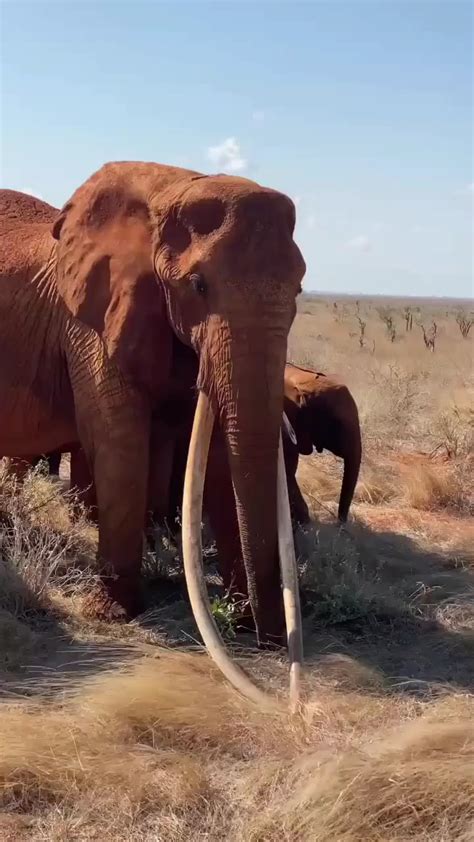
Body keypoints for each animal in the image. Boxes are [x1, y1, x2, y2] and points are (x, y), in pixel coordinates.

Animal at [0, 163, 306, 667]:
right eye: (198, 286)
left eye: (299, 287)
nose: (274, 644)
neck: (175, 187)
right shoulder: (91, 322)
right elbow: (118, 439)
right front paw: (113, 613)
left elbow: (219, 455)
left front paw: (242, 618)